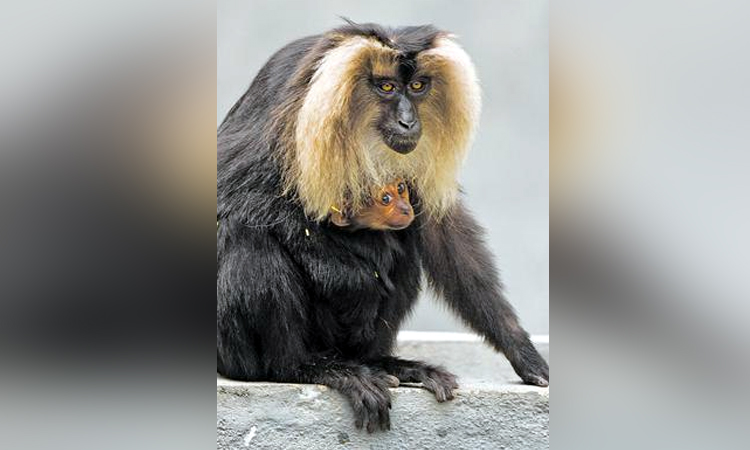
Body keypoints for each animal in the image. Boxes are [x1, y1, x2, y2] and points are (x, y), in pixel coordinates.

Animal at [217, 21, 549, 433]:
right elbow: (233, 199)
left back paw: (381, 363)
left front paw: (520, 348)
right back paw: (304, 368)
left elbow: (441, 231)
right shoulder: (285, 96)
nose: (408, 120)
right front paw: (347, 275)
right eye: (387, 87)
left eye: (418, 86)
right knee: (246, 233)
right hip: (235, 351)